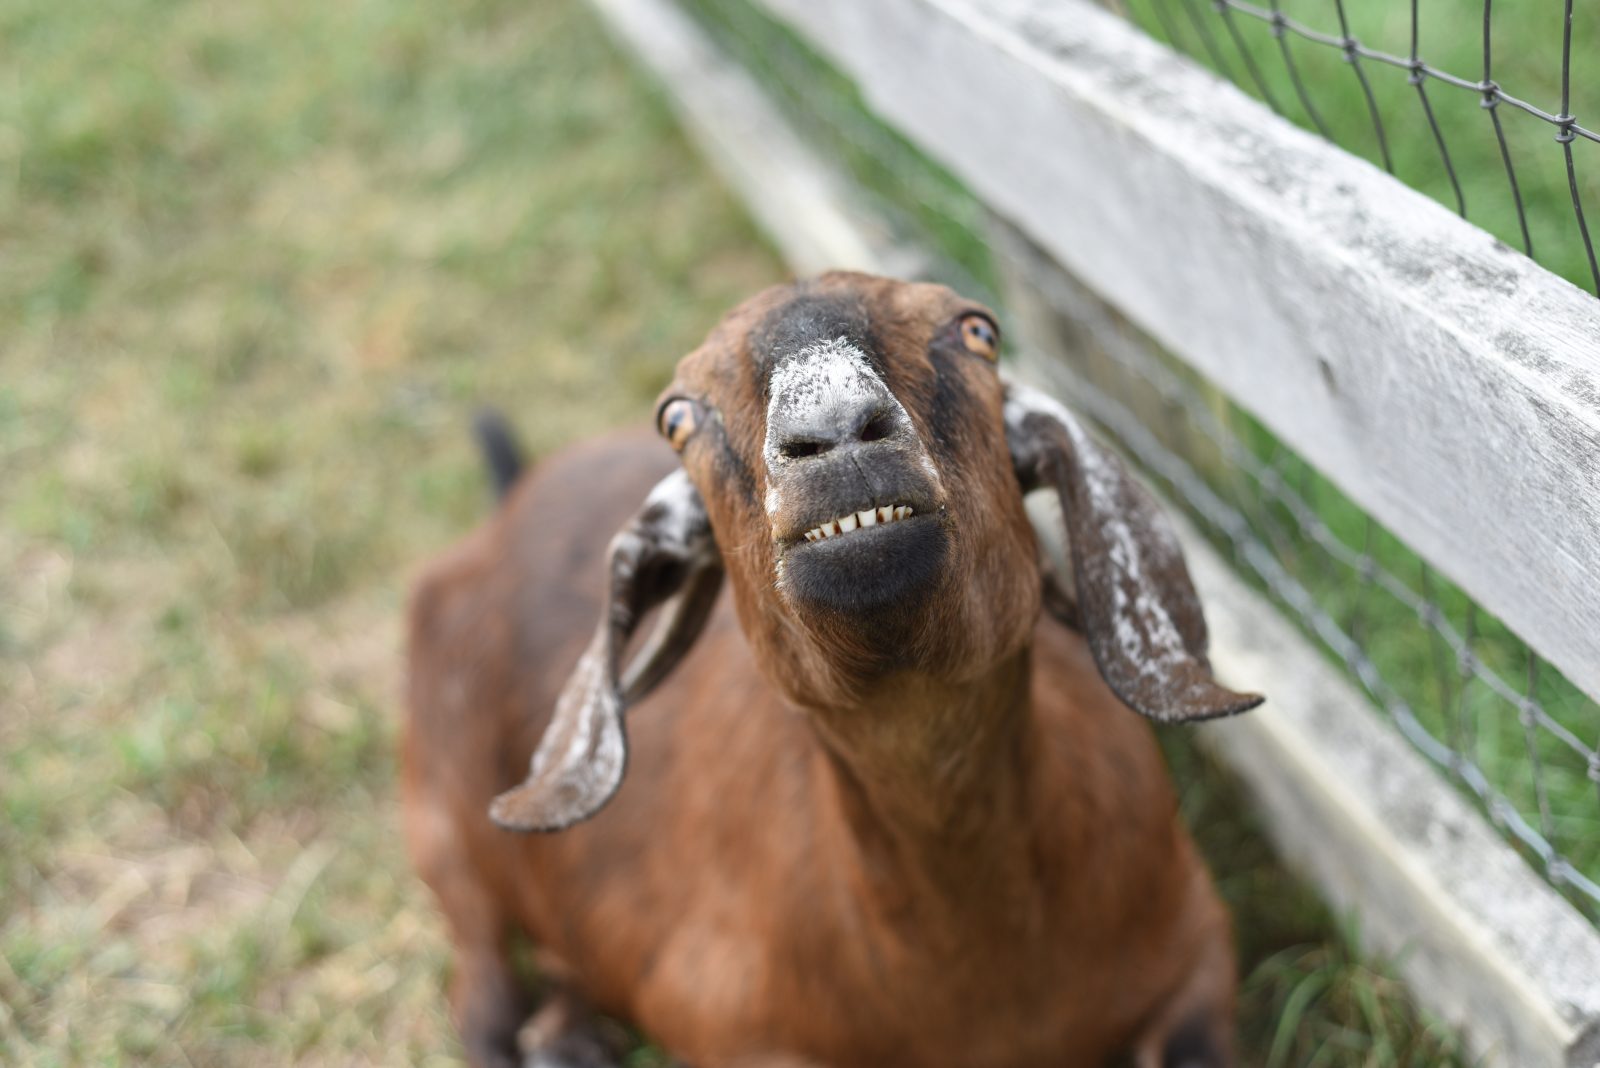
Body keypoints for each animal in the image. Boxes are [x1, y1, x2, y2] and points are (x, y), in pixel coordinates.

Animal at [404, 272, 1262, 1068]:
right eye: (676, 416)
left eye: (978, 330)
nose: (835, 433)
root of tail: (513, 497)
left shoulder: (1196, 937)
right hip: (439, 808)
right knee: (478, 972)